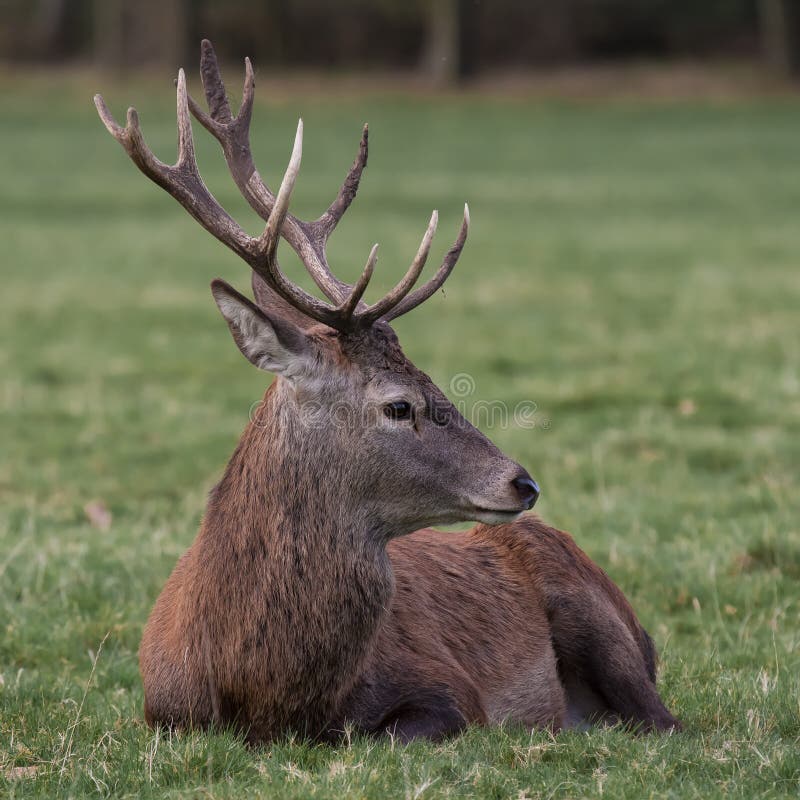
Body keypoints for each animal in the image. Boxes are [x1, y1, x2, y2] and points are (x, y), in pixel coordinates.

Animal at [94, 40, 680, 744]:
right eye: (400, 404)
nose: (523, 482)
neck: (265, 695)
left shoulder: (450, 692)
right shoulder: (162, 712)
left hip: (602, 625)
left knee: (667, 720)